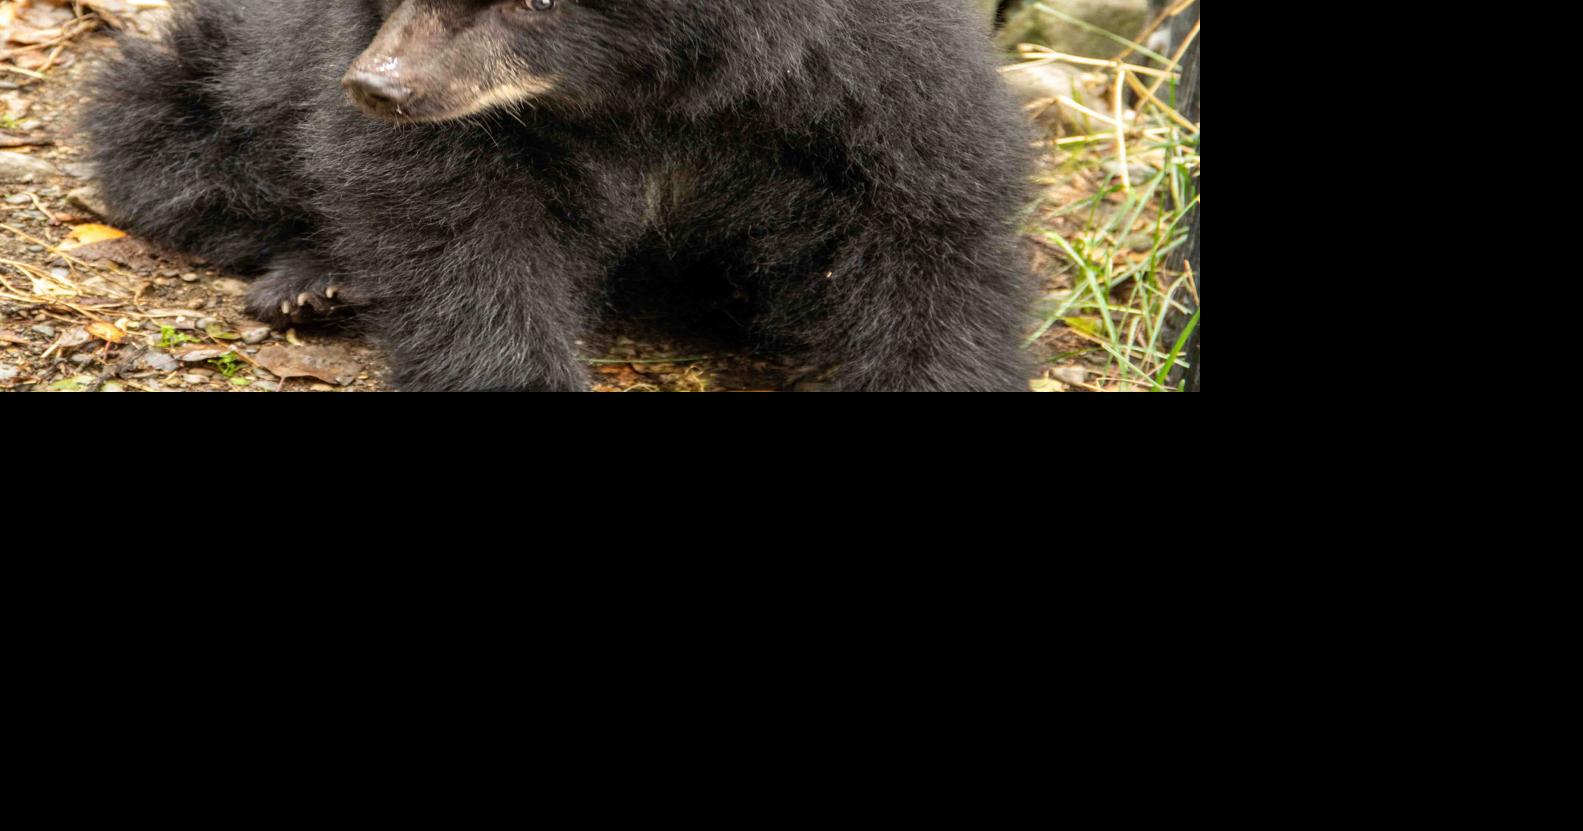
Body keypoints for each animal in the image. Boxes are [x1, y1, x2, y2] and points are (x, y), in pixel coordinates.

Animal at [83, 0, 1034, 391]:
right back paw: (313, 284)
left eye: (536, 0)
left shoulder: (873, 79)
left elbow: (925, 226)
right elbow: (460, 230)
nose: (379, 87)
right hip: (230, 77)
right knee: (171, 138)